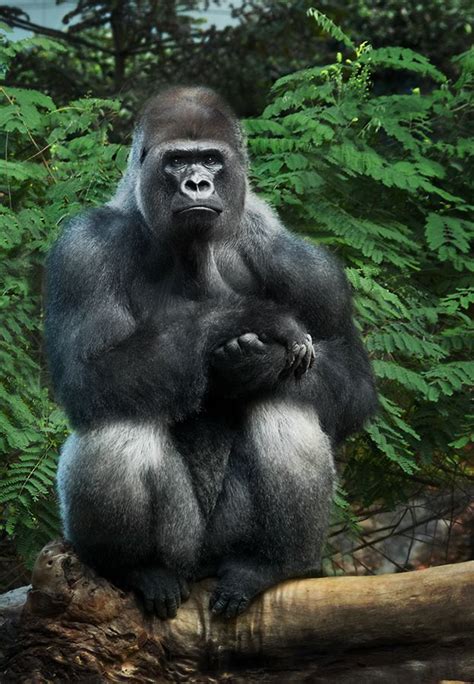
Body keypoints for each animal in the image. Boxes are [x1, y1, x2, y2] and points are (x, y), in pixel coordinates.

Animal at [45, 86, 377, 619]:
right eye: (178, 161)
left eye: (211, 160)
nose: (197, 184)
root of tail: (199, 568)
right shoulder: (83, 250)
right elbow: (90, 374)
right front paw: (249, 319)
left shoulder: (304, 262)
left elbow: (352, 385)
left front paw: (260, 362)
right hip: (182, 547)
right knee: (119, 416)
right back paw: (136, 568)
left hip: (226, 544)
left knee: (284, 403)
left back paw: (269, 564)